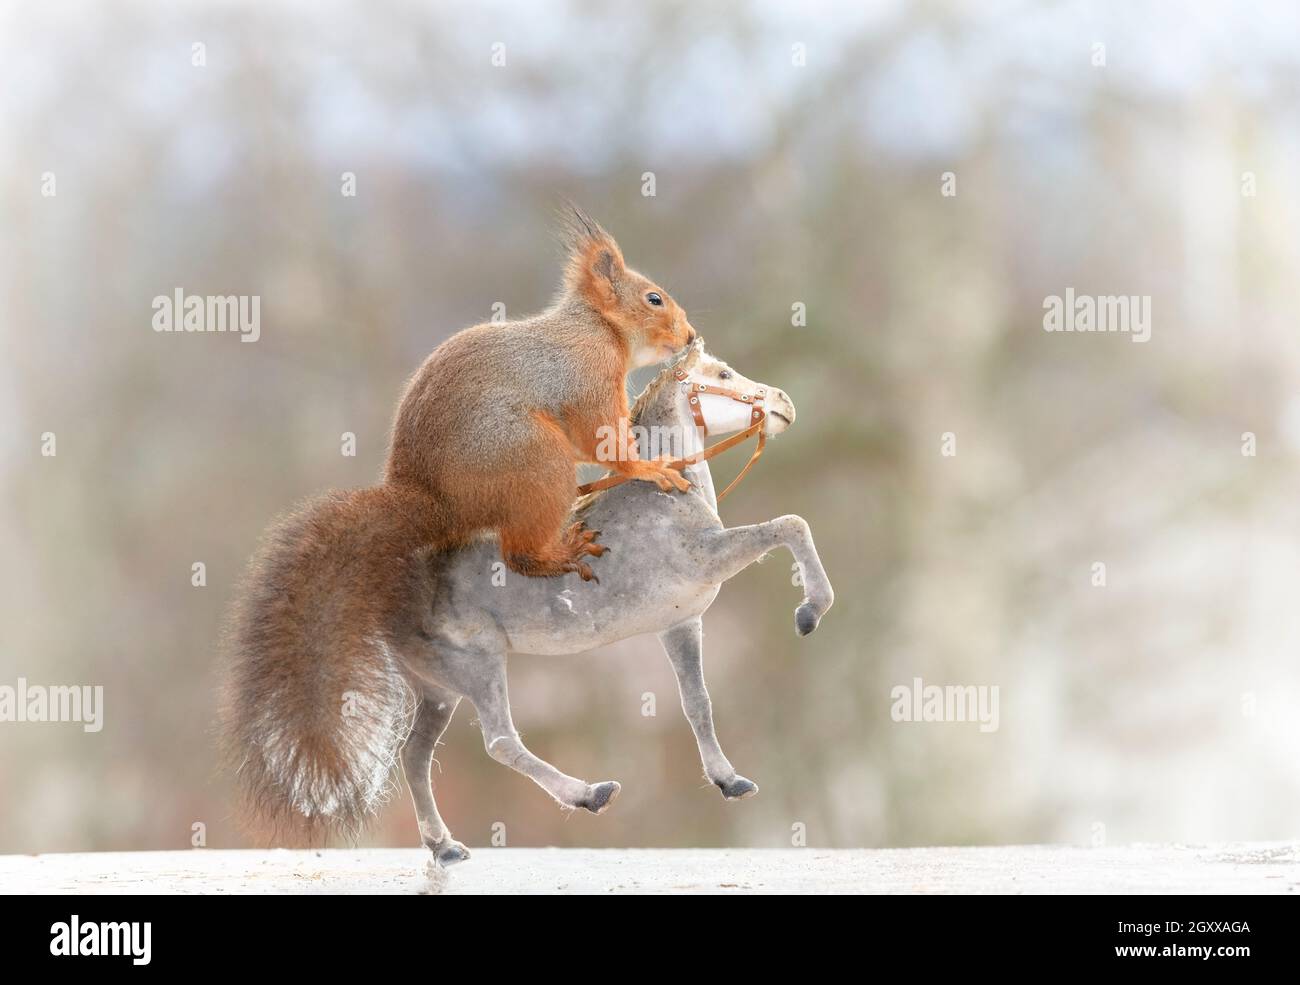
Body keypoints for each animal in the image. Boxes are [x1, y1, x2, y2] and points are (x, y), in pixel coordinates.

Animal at [220, 208, 696, 835]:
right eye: (654, 298)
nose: (692, 337)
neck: (597, 329)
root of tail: (436, 505)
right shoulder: (587, 377)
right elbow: (605, 442)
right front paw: (653, 467)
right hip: (534, 459)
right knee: (519, 553)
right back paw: (563, 551)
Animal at [398, 339, 835, 865]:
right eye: (724, 375)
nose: (782, 402)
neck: (664, 492)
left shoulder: (680, 625)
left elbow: (697, 703)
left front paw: (729, 781)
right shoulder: (711, 557)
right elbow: (791, 525)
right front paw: (809, 612)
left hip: (438, 691)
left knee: (414, 756)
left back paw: (444, 846)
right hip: (479, 669)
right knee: (501, 742)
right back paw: (591, 794)